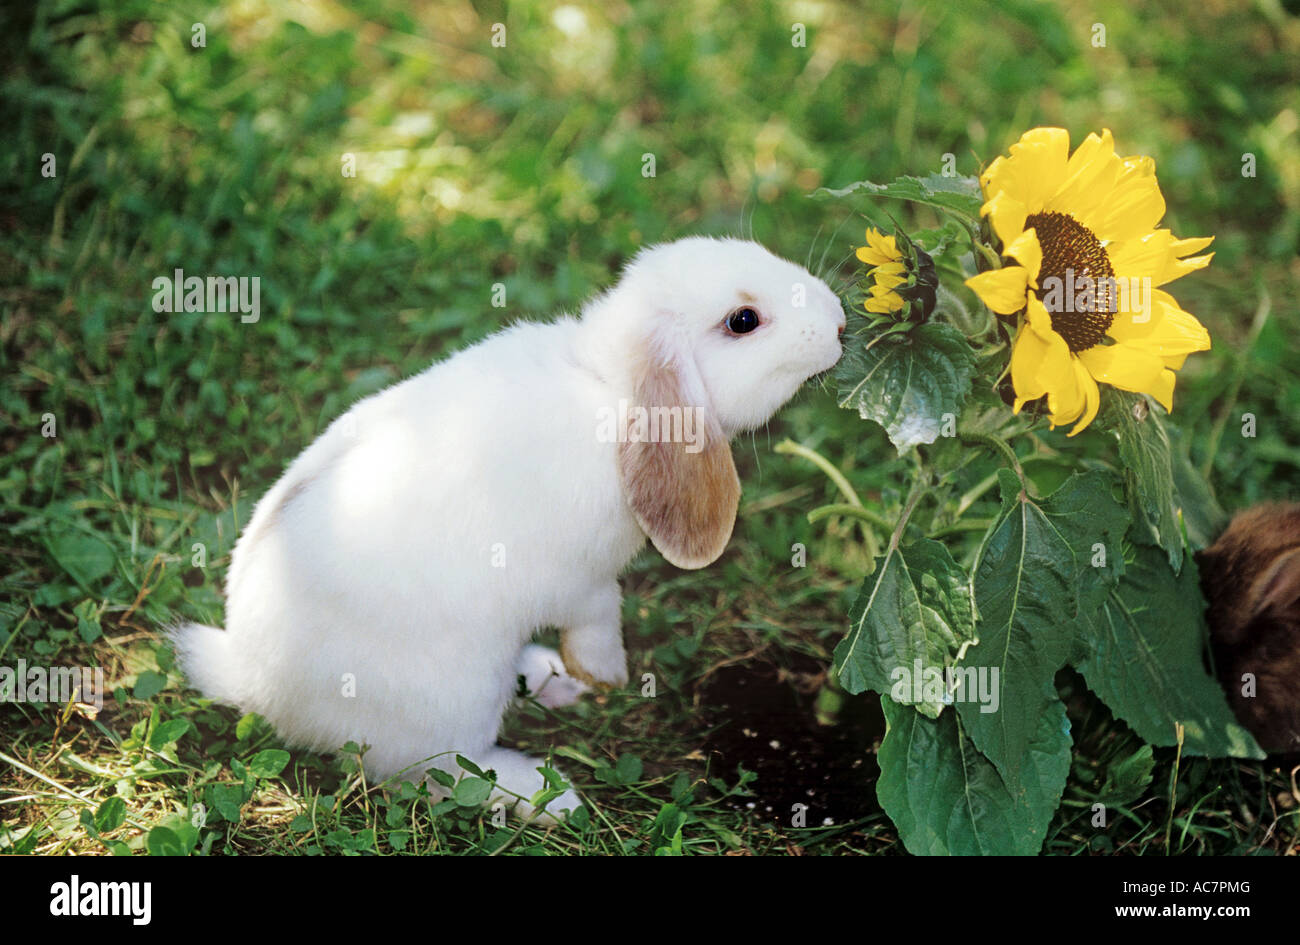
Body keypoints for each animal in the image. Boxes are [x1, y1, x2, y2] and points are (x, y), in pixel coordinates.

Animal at [172, 236, 846, 822]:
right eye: (743, 320)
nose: (840, 322)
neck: (609, 389)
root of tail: (258, 683)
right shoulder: (582, 581)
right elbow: (600, 619)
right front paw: (607, 676)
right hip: (455, 700)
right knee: (435, 773)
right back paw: (547, 793)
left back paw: (549, 683)